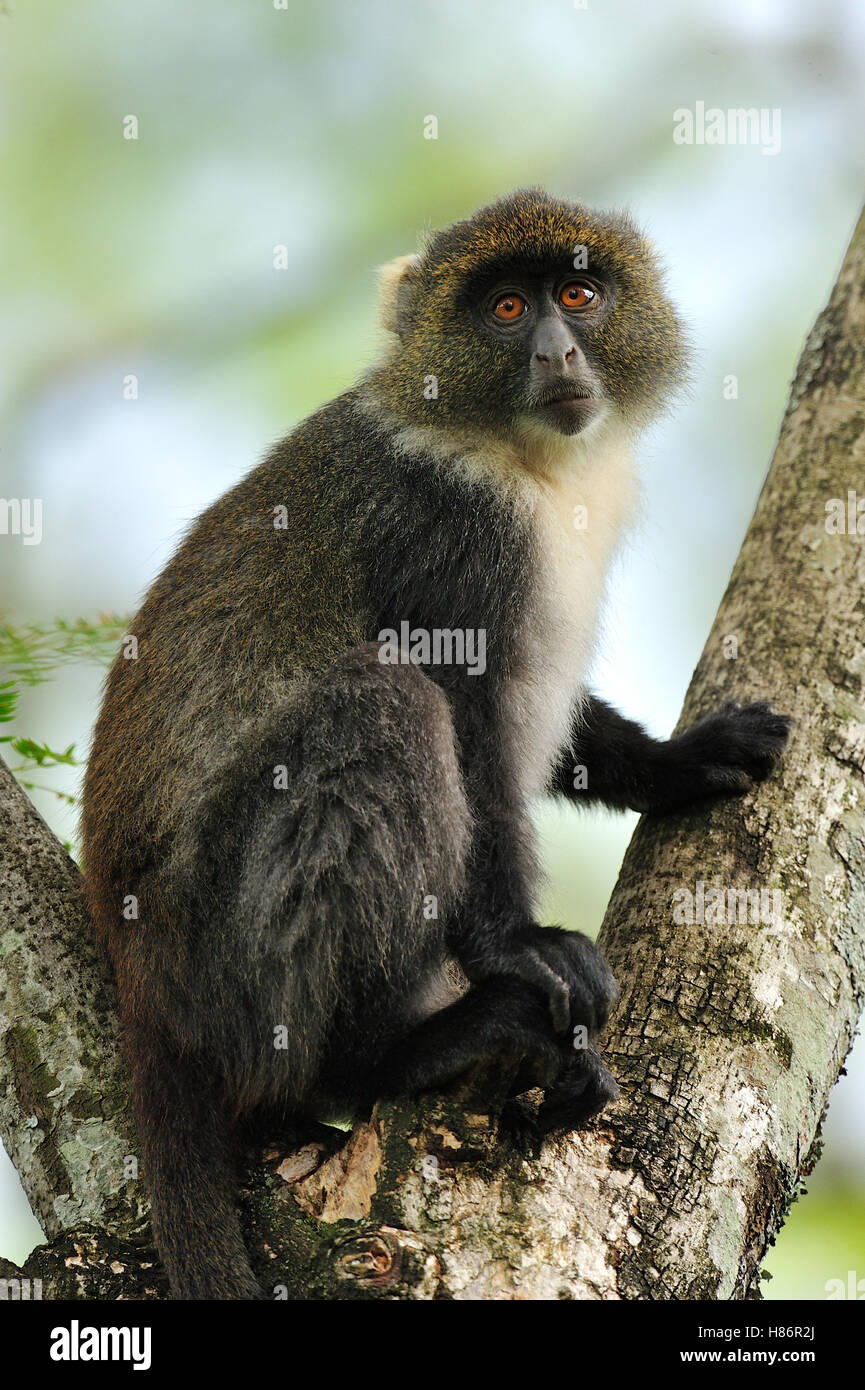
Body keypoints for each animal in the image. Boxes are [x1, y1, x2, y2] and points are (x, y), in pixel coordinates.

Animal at [81, 188, 790, 1300]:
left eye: (577, 295)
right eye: (503, 309)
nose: (556, 352)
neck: (517, 459)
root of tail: (139, 982)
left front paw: (675, 762)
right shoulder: (451, 536)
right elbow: (469, 730)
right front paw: (519, 946)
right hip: (218, 961)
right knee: (385, 711)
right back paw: (394, 1053)